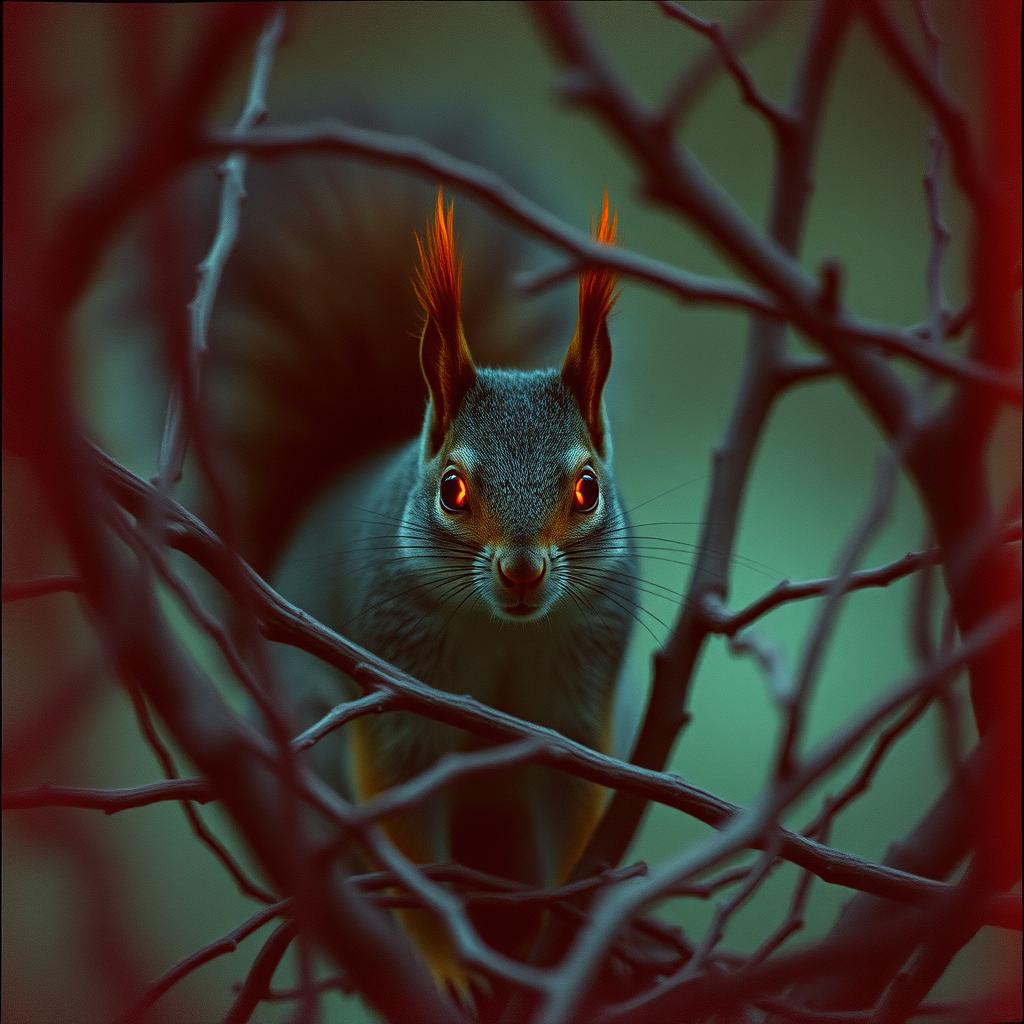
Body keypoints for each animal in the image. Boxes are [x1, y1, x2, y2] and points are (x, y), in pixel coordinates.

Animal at [197, 121, 639, 995]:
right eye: (452, 490)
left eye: (587, 489)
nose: (522, 570)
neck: (507, 631)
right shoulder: (393, 695)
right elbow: (406, 839)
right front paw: (445, 962)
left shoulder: (578, 704)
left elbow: (575, 808)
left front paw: (575, 927)